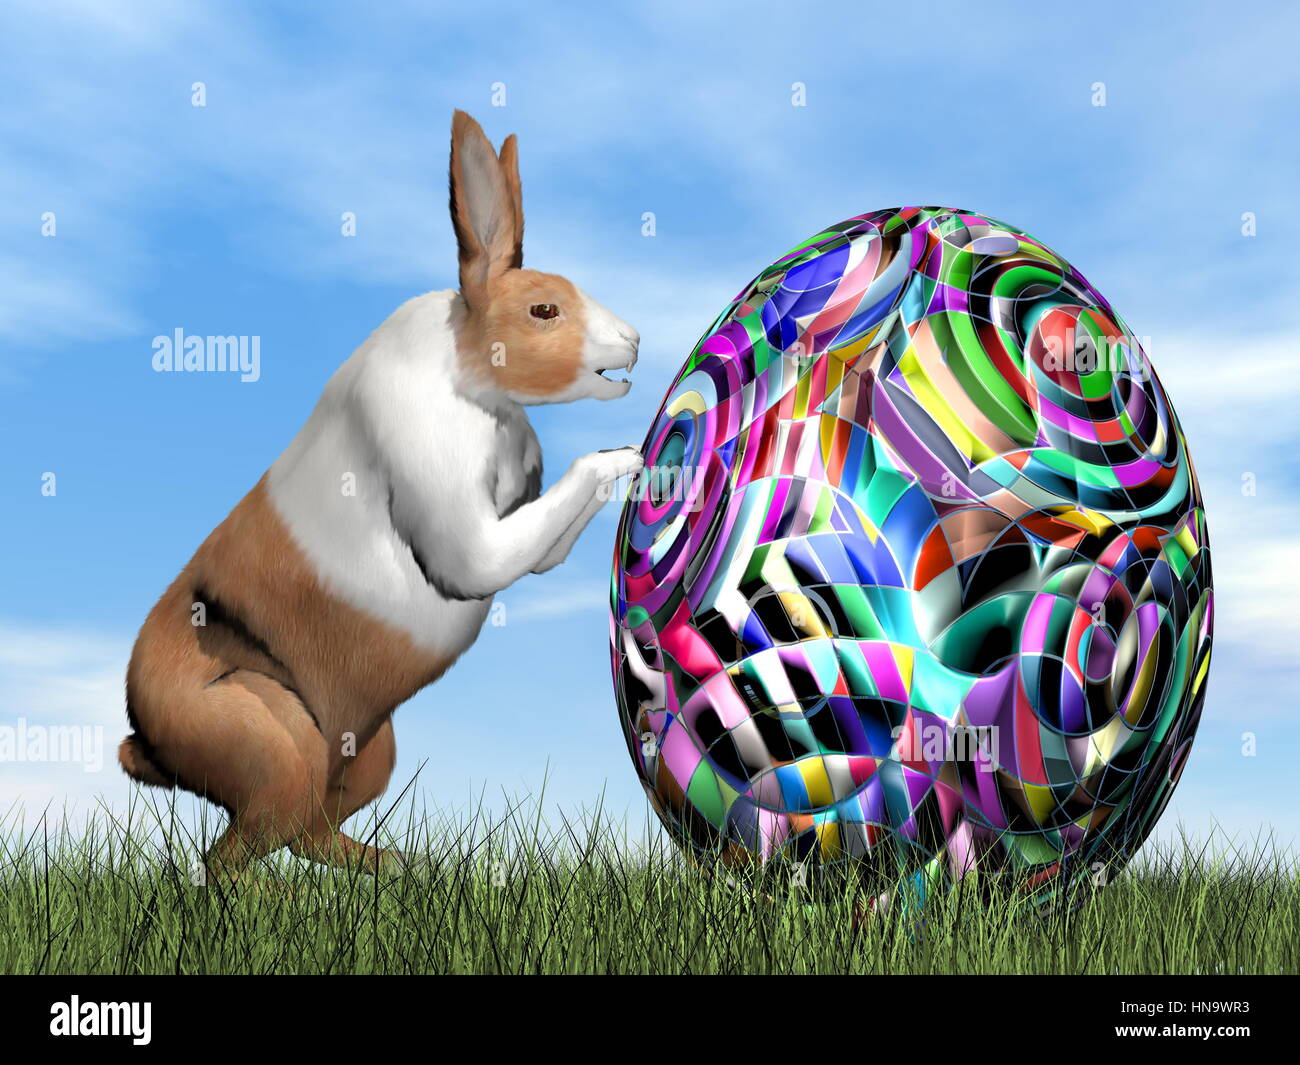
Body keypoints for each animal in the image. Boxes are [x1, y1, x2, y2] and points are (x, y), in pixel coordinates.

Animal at [118, 110, 645, 880]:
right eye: (544, 309)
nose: (633, 341)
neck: (471, 373)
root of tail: (144, 744)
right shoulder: (471, 544)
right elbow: (512, 534)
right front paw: (629, 455)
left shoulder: (528, 529)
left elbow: (548, 543)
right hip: (274, 739)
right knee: (230, 858)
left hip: (369, 749)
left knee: (303, 833)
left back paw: (396, 864)